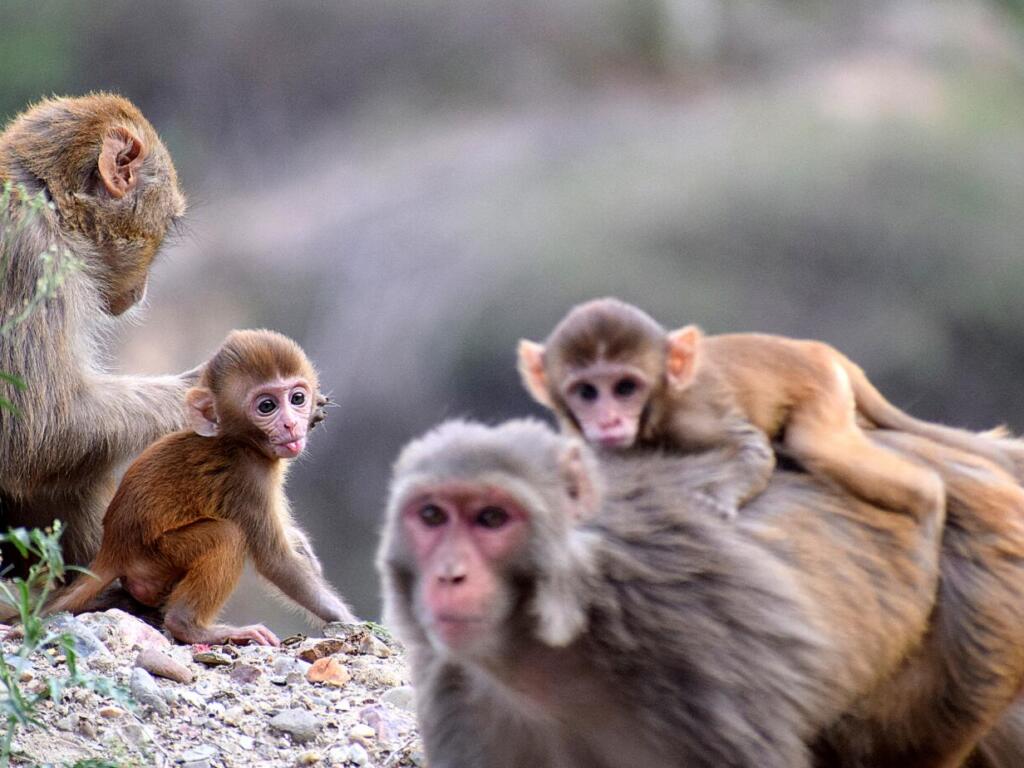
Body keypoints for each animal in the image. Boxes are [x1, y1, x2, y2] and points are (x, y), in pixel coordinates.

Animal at [41, 329, 356, 645]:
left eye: (297, 398)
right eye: (267, 406)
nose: (291, 424)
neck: (240, 443)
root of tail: (112, 550)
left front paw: (305, 551)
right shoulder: (247, 479)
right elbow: (276, 562)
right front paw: (349, 620)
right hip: (158, 556)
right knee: (227, 536)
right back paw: (191, 626)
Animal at [517, 296, 1021, 521]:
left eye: (624, 387)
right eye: (587, 392)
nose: (607, 419)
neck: (658, 404)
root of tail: (821, 350)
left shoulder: (694, 412)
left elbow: (753, 447)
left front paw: (721, 496)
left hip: (823, 390)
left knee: (816, 445)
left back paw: (929, 500)